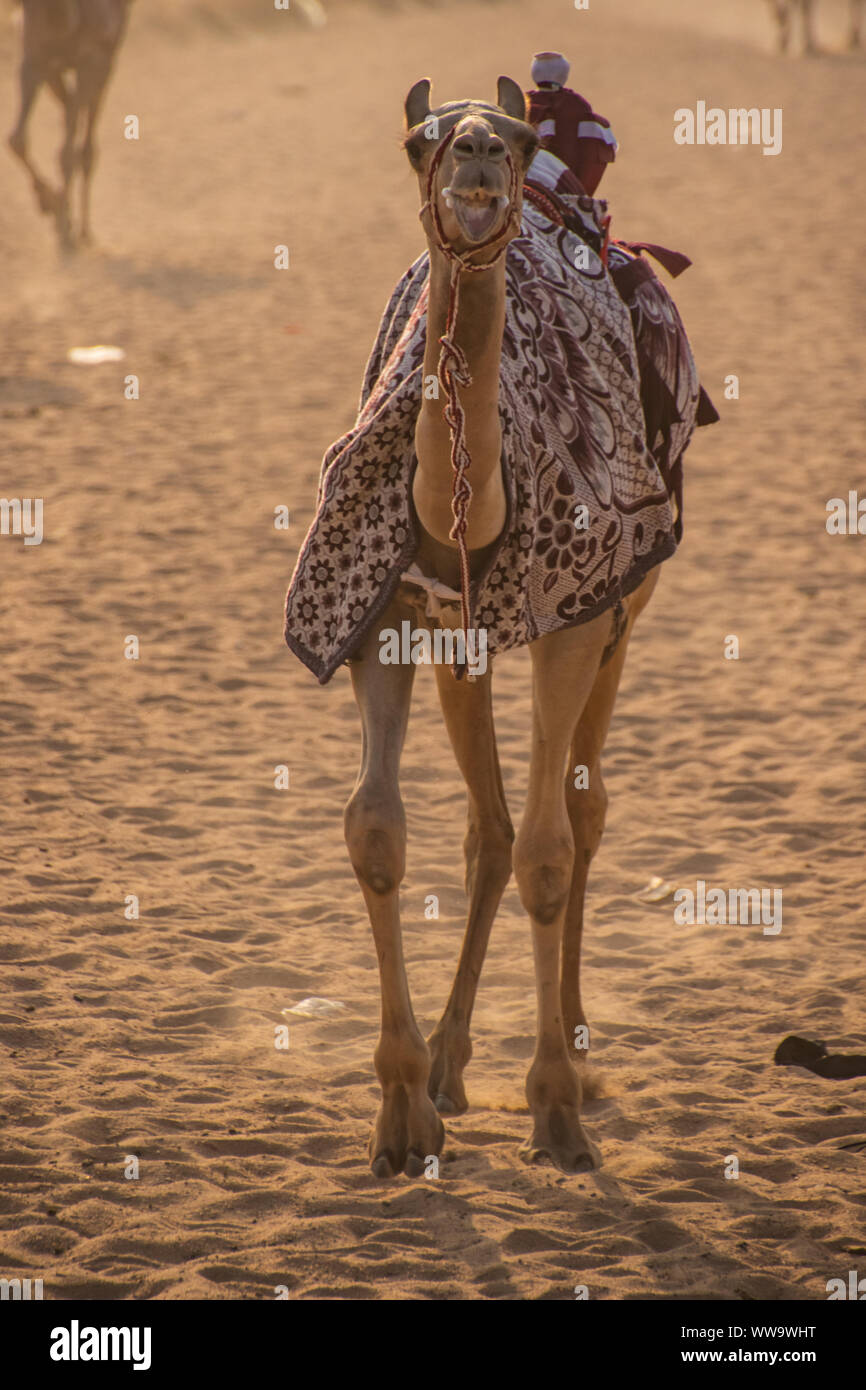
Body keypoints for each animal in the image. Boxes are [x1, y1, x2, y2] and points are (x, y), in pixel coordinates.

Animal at [8, 0, 131, 249]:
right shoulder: (35, 57)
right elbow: (17, 141)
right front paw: (50, 204)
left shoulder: (91, 60)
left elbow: (66, 153)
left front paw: (65, 230)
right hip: (57, 73)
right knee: (70, 113)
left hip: (104, 66)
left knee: (85, 145)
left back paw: (83, 232)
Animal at [334, 76, 676, 1179]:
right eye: (418, 142)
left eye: (518, 138)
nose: (478, 151)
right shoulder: (389, 621)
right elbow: (377, 829)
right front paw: (403, 1109)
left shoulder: (574, 621)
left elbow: (548, 853)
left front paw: (557, 1111)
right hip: (466, 649)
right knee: (485, 826)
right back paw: (448, 1061)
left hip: (624, 616)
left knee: (579, 810)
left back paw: (576, 1047)